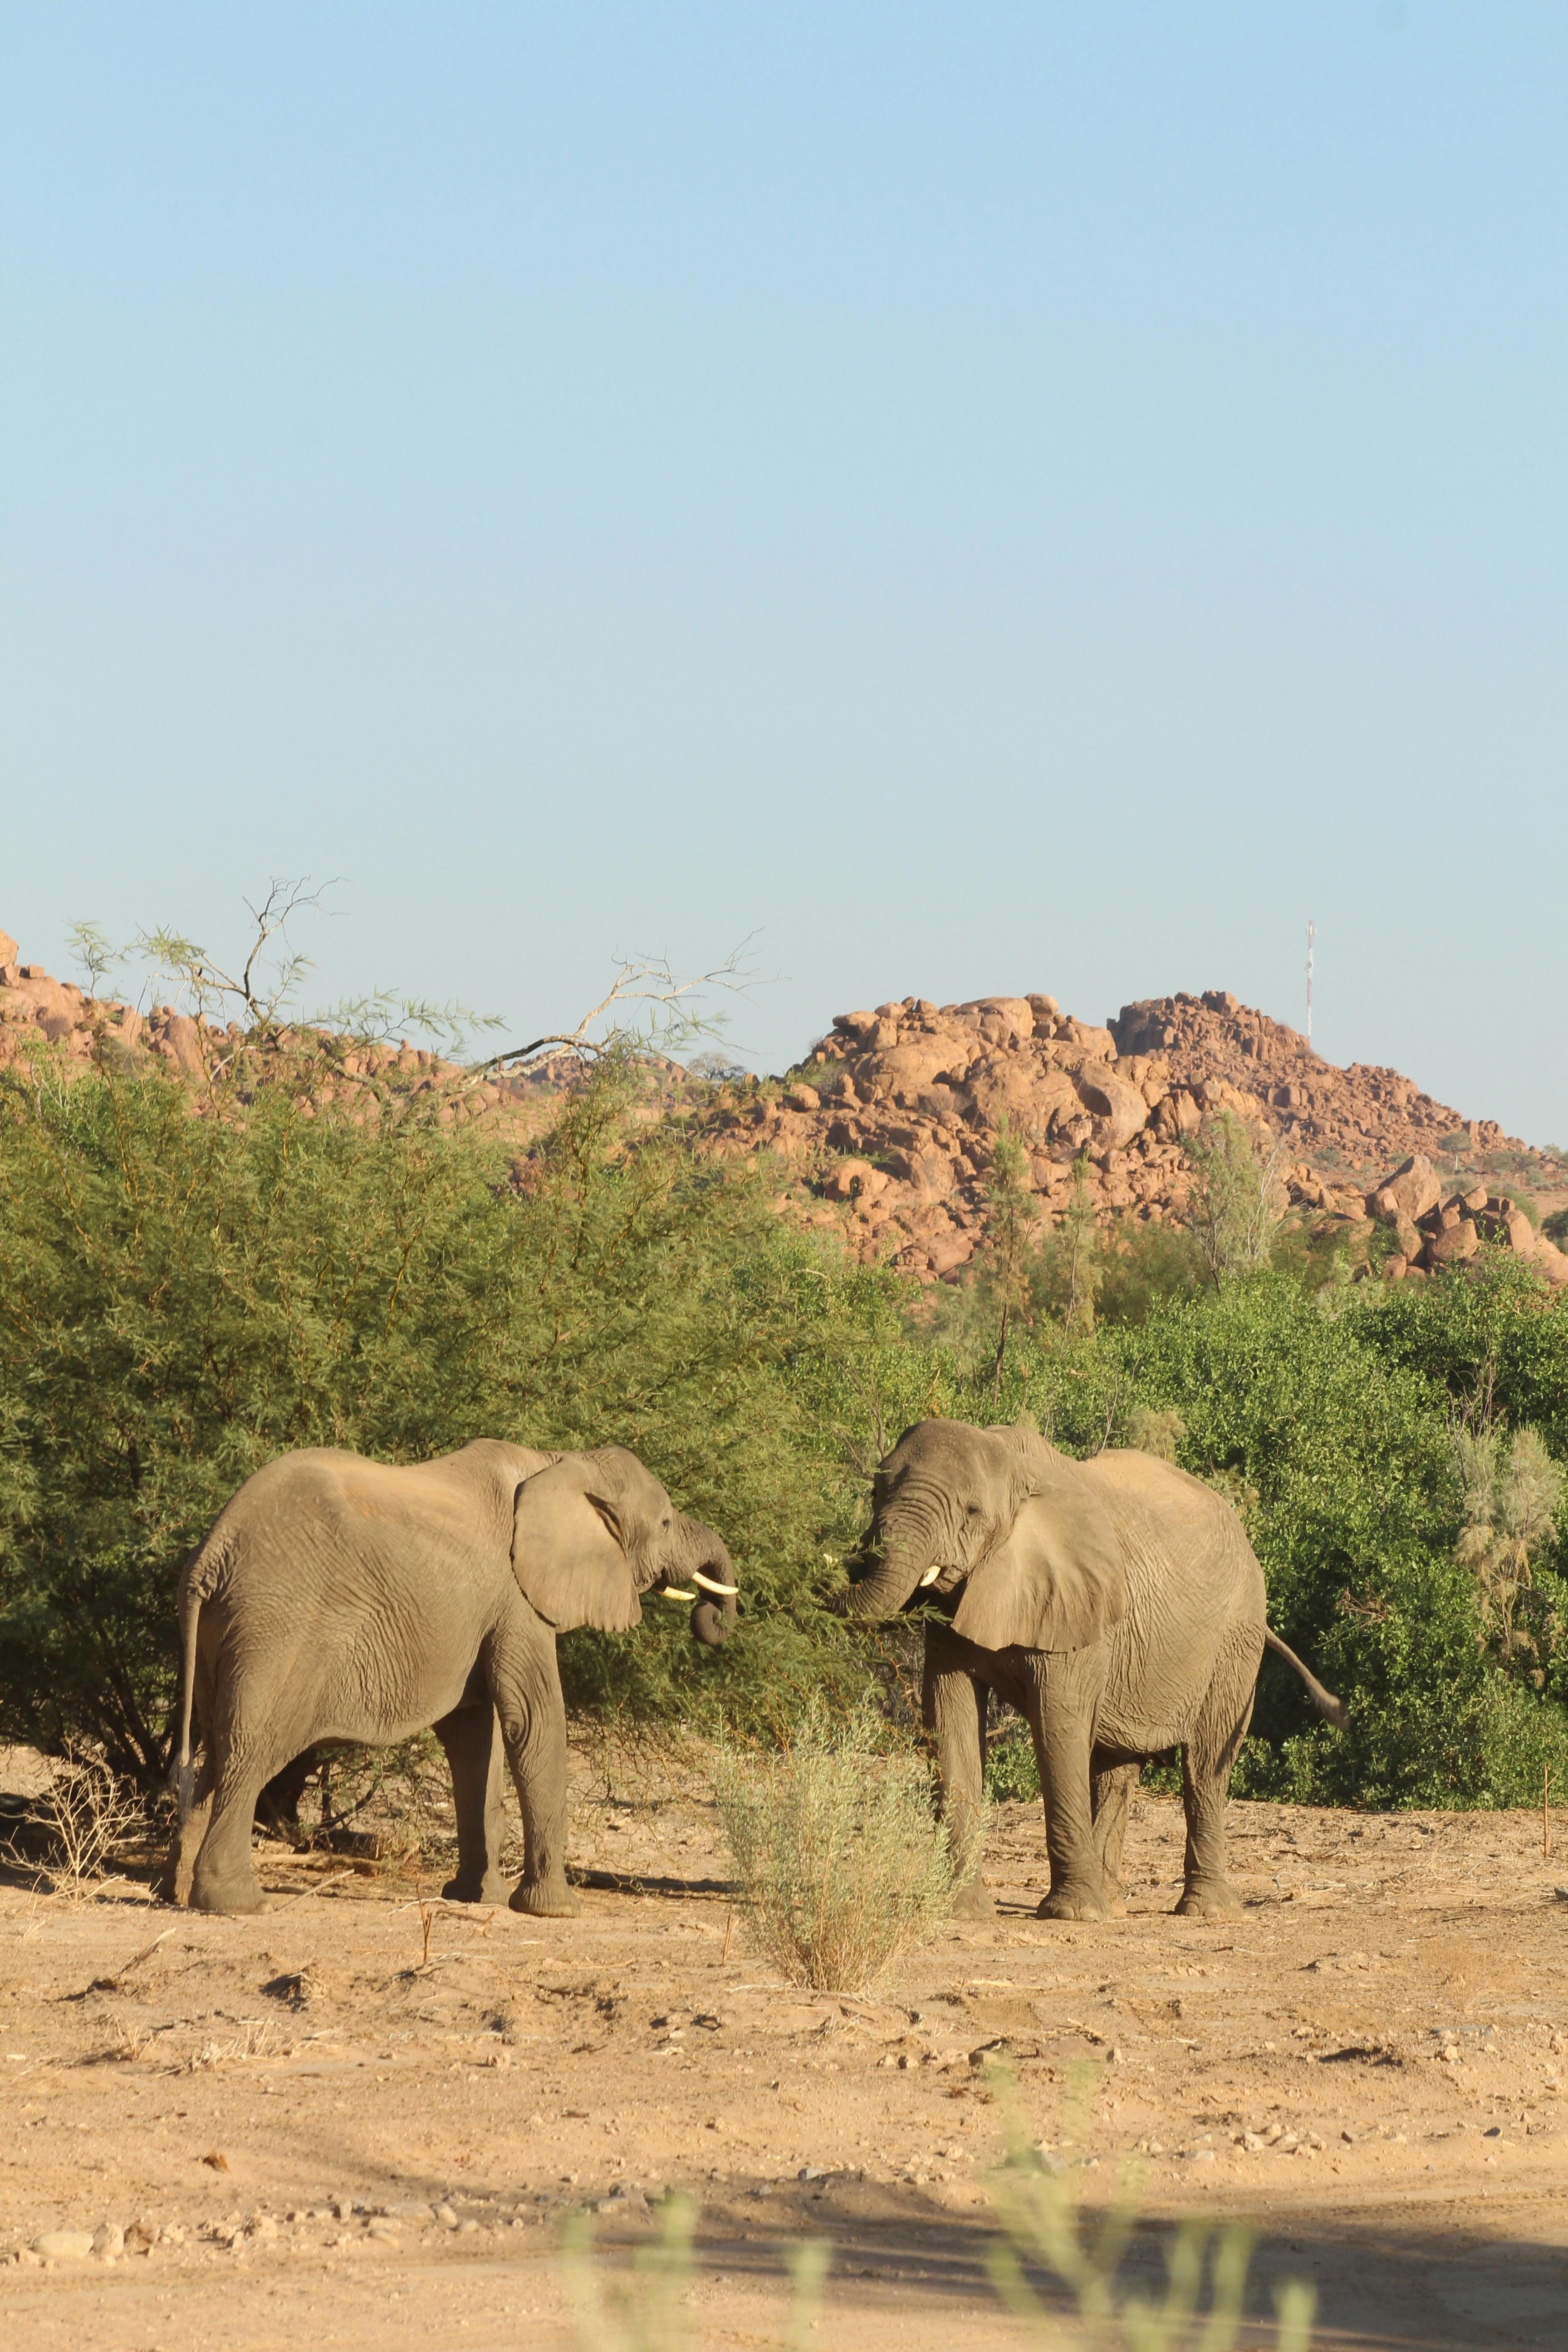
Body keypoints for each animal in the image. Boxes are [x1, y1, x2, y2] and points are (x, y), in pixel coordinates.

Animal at [162, 1438, 738, 1916]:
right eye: (665, 1524)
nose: (710, 1617)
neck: (560, 1462)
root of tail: (212, 1551)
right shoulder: (517, 1598)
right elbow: (534, 1721)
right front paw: (556, 1911)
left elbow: (476, 1737)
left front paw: (477, 1898)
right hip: (276, 1629)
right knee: (250, 1752)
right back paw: (239, 1904)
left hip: (226, 1632)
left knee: (216, 1748)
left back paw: (175, 1893)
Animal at [845, 1419, 1344, 1921]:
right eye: (874, 1492)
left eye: (971, 1511)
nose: (851, 1561)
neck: (1014, 1468)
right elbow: (951, 1722)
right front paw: (963, 1912)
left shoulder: (1077, 1602)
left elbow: (1058, 1726)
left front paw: (1073, 1914)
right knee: (1117, 1766)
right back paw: (1114, 1904)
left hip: (1234, 1637)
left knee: (1204, 1766)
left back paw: (1204, 1911)